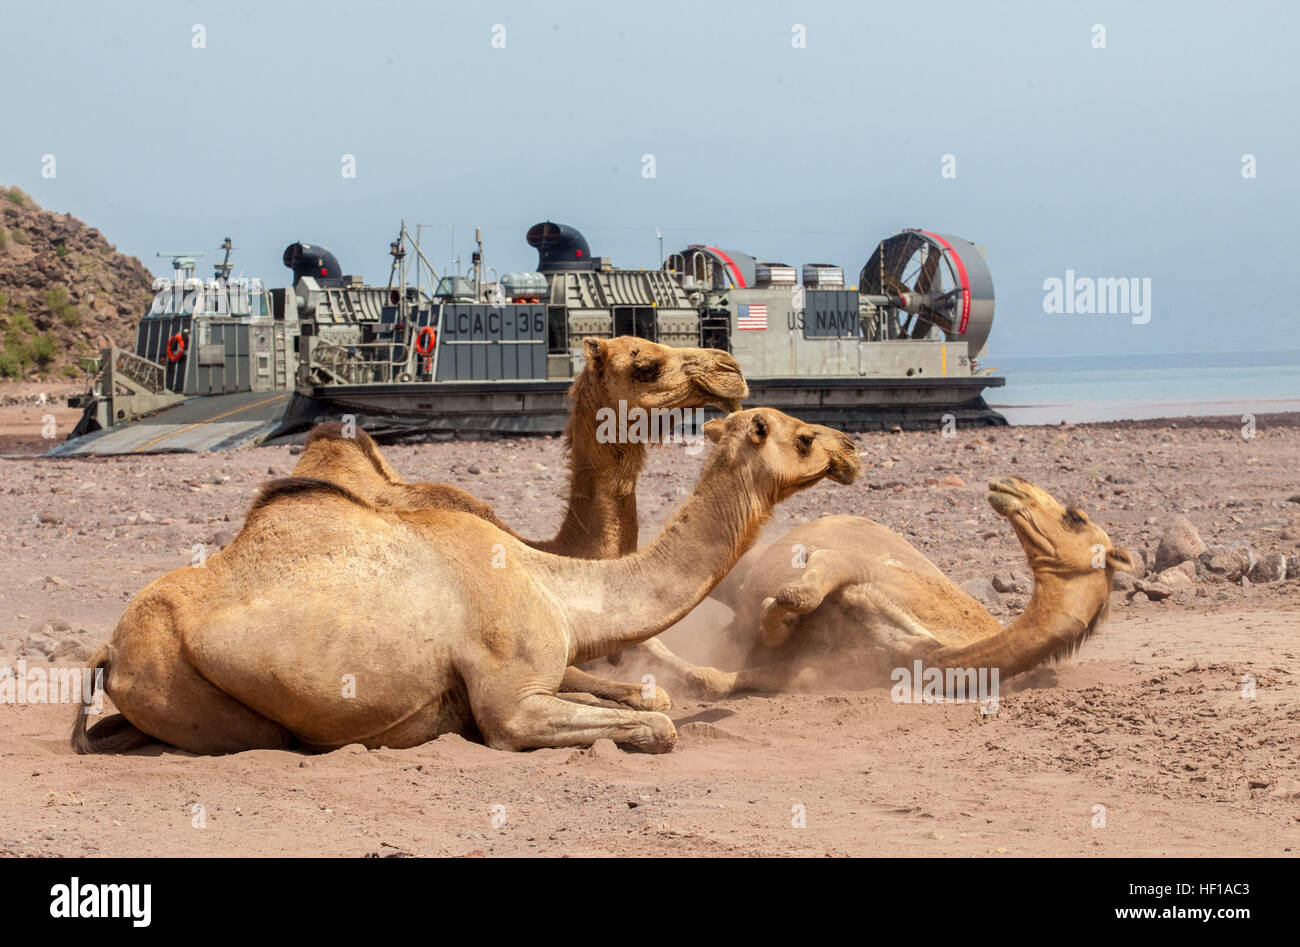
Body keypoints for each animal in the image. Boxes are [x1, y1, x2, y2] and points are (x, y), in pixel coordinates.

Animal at [71, 408, 861, 755]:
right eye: (801, 436)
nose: (853, 445)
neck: (555, 582)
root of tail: (107, 649)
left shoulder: (550, 667)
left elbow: (648, 693)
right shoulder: (512, 702)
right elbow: (657, 723)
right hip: (184, 683)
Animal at [671, 476, 1137, 698]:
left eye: (1075, 517)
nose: (1011, 484)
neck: (915, 651)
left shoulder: (820, 672)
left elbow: (716, 679)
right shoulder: (856, 569)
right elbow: (797, 592)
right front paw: (770, 622)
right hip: (750, 559)